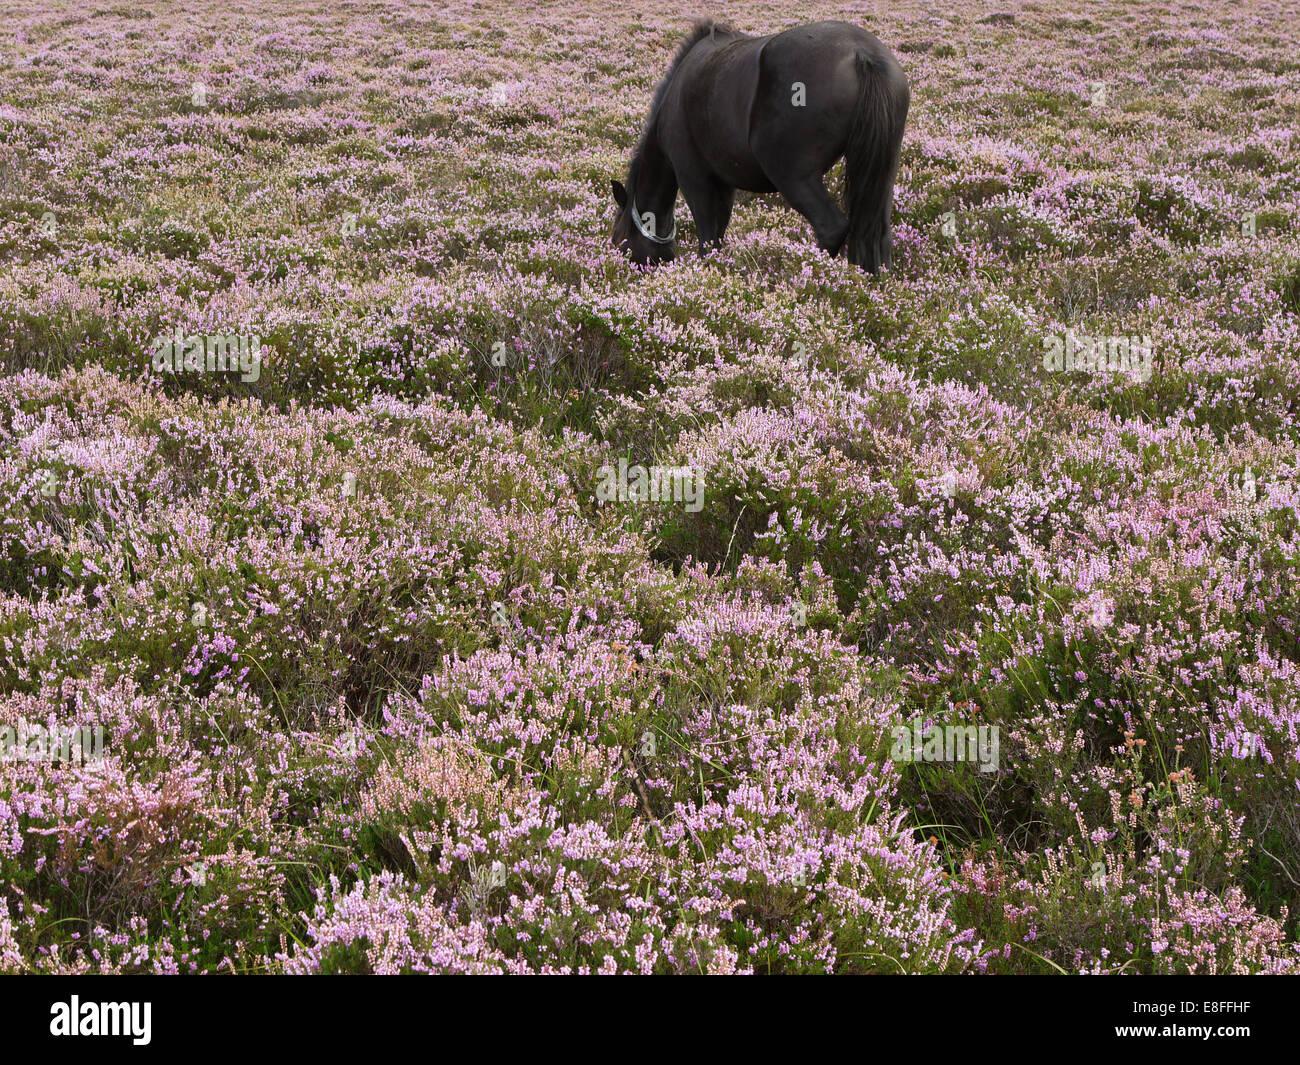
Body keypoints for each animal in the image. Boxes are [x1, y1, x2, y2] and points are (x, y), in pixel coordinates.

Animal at [611, 19, 910, 273]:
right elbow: (719, 234)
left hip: (792, 176)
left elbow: (707, 238)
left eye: (618, 238)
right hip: (881, 177)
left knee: (831, 228)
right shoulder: (723, 183)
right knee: (878, 237)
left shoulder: (693, 178)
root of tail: (863, 54)